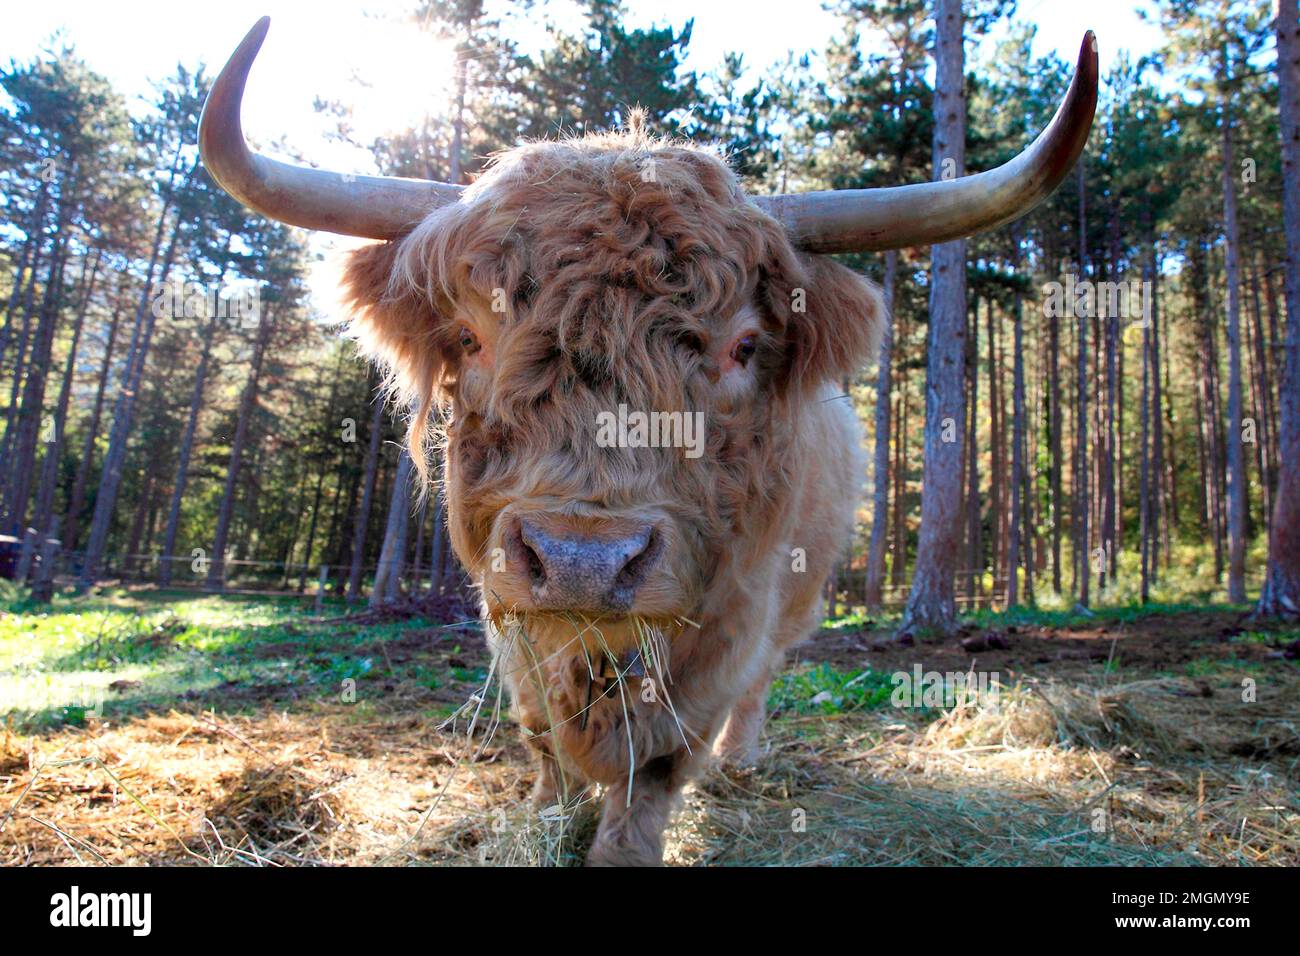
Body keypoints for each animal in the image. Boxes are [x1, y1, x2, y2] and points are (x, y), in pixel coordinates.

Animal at [199, 17, 1097, 865]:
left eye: (743, 346)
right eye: (470, 336)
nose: (582, 560)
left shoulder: (731, 620)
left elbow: (660, 761)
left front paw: (625, 844)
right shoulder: (512, 618)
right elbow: (543, 739)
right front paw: (546, 816)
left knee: (762, 684)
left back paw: (742, 762)